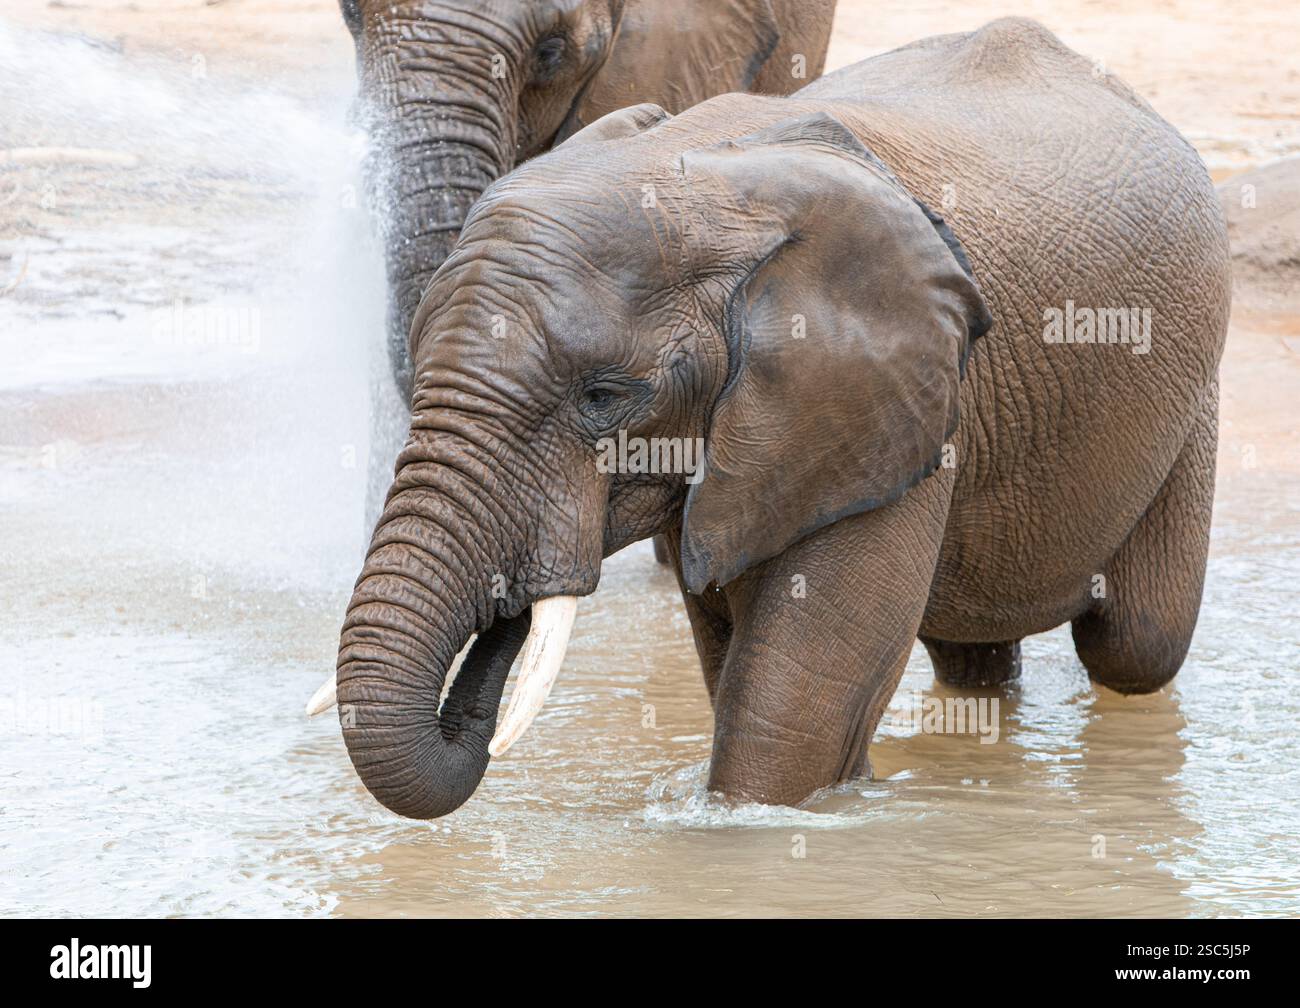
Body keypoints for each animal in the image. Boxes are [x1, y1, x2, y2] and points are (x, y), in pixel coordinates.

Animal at [311, 18, 1230, 819]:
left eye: (605, 397)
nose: (517, 601)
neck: (702, 178)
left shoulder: (890, 408)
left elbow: (796, 701)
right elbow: (738, 661)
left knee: (1137, 641)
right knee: (972, 649)